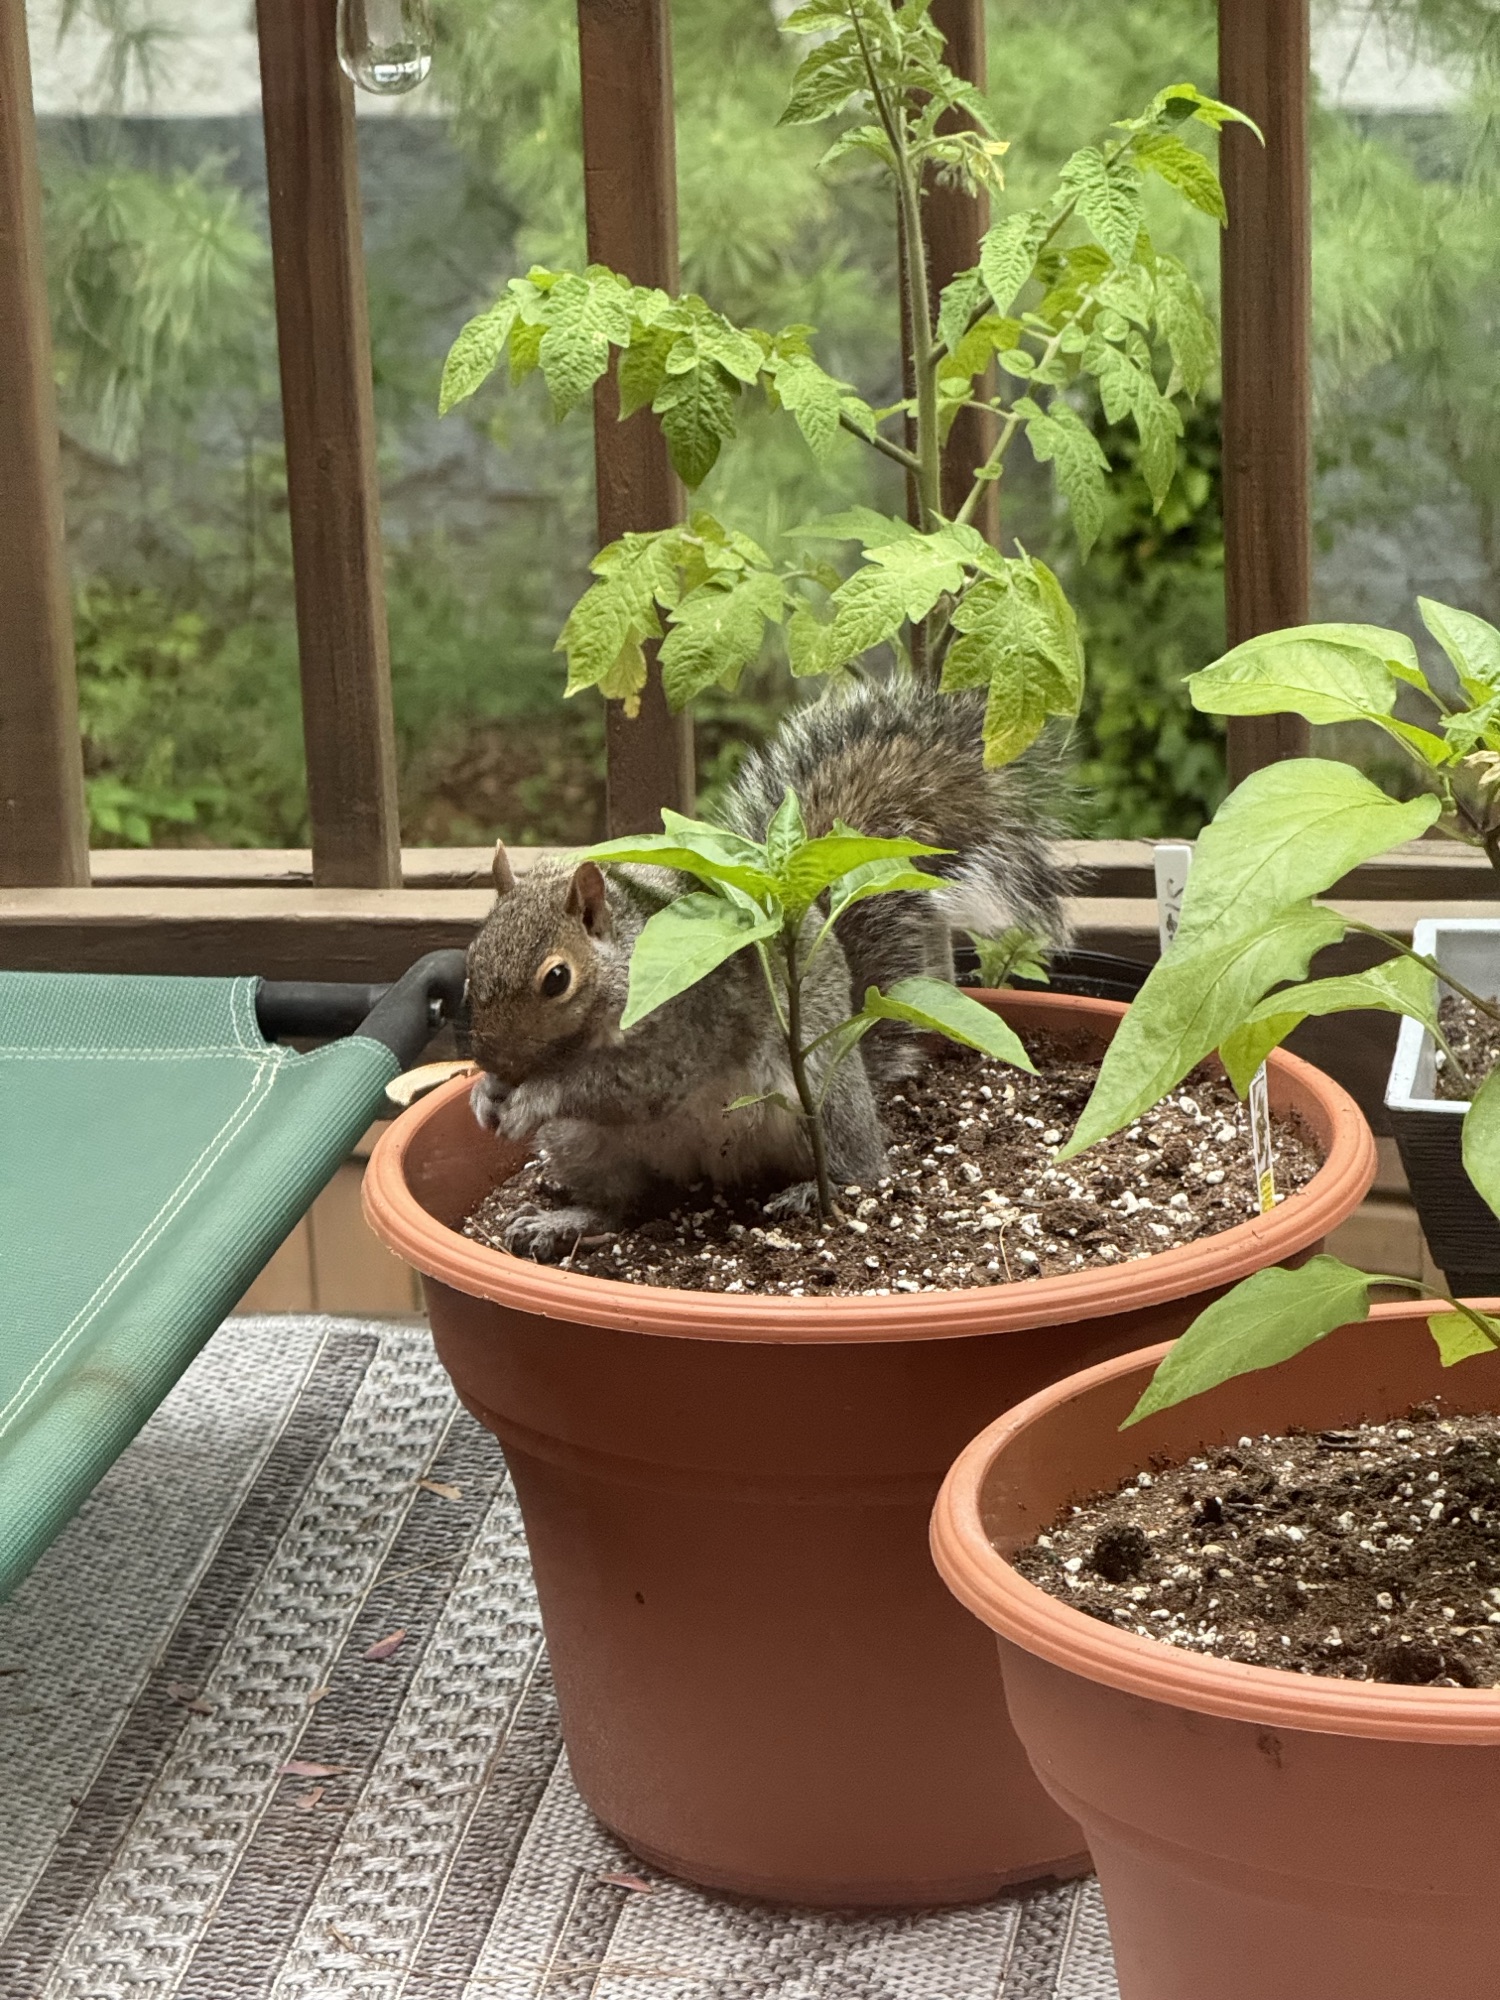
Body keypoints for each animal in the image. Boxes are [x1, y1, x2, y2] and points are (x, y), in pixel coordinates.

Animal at [465, 680, 1068, 1260]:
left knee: (861, 1169)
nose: (494, 1062)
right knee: (623, 1205)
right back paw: (563, 1220)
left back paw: (812, 1190)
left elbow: (630, 1085)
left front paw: (533, 1096)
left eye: (557, 979)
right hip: (583, 1146)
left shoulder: (688, 1023)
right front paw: (485, 1096)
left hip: (818, 1104)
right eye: (471, 963)